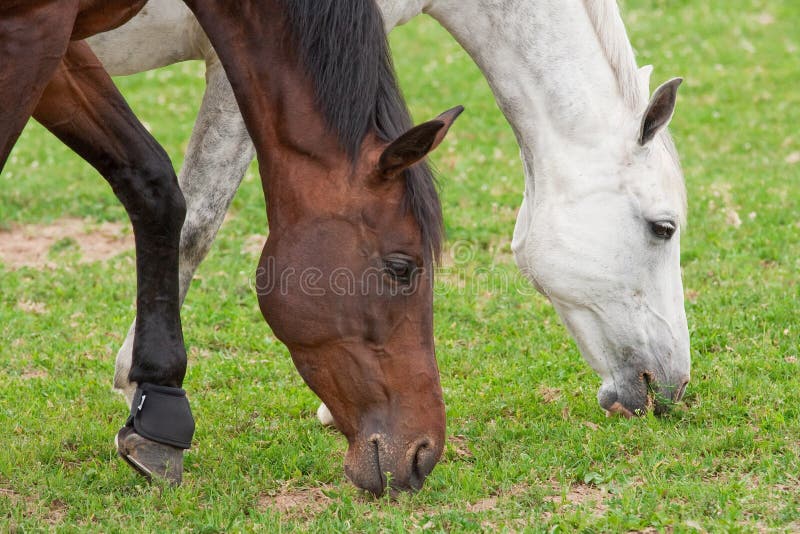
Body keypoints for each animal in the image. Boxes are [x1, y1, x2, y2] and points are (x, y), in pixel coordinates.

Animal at [1, 0, 461, 496]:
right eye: (401, 267)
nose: (424, 451)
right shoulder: (31, 32)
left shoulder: (59, 42)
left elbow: (155, 184)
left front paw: (159, 408)